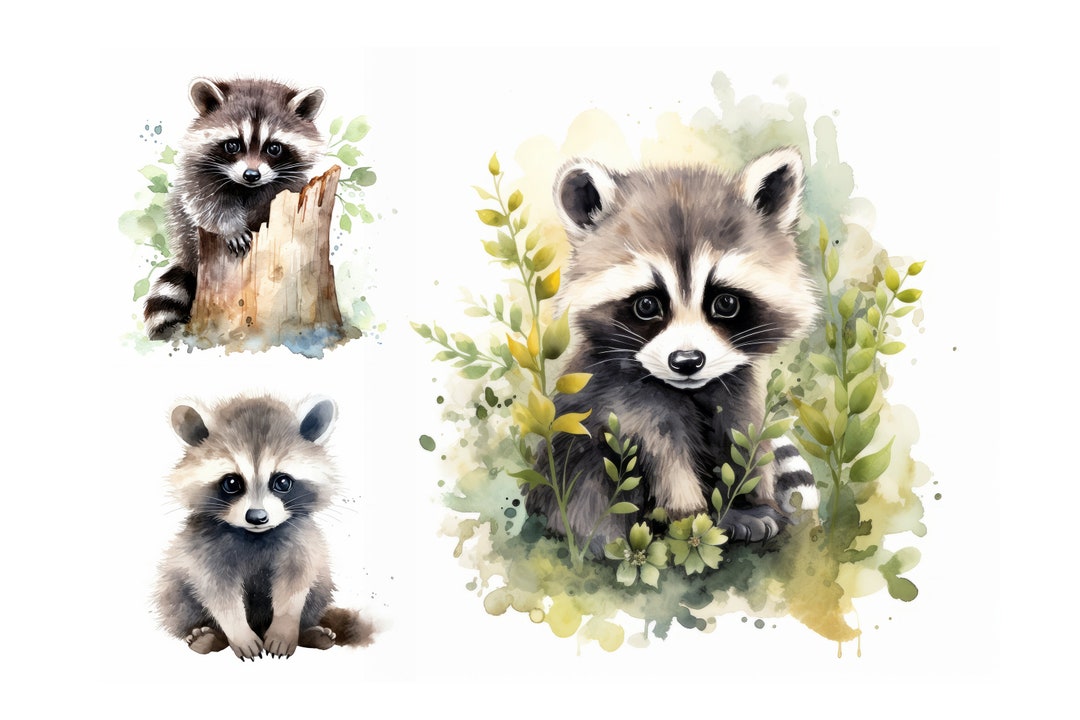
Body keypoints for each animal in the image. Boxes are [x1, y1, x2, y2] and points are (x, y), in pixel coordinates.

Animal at [143, 78, 326, 340]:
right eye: (232, 145)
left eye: (274, 148)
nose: (251, 175)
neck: (246, 188)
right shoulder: (198, 178)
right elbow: (206, 203)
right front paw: (230, 227)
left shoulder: (289, 185)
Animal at [155, 394, 371, 659]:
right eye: (231, 483)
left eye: (282, 482)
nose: (257, 517)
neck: (255, 535)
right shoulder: (203, 545)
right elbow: (218, 591)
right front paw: (239, 634)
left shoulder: (300, 539)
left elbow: (295, 583)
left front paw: (284, 630)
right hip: (172, 587)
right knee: (177, 595)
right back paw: (206, 636)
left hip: (322, 583)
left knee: (318, 588)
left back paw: (309, 632)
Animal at [525, 148, 820, 556]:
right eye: (647, 305)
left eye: (725, 302)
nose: (687, 362)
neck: (690, 390)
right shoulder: (622, 396)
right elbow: (664, 452)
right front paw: (692, 520)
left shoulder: (736, 381)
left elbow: (742, 432)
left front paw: (746, 501)